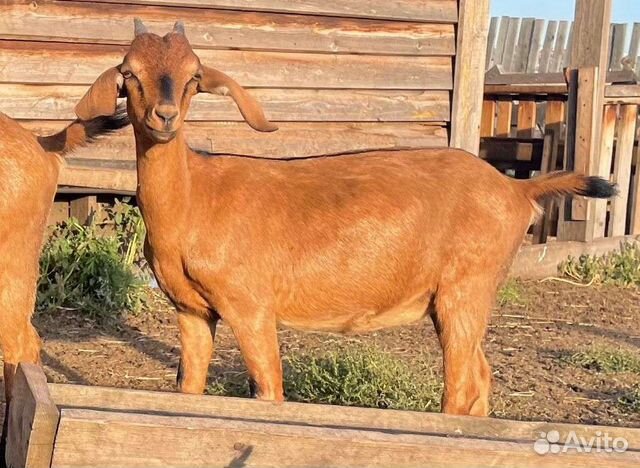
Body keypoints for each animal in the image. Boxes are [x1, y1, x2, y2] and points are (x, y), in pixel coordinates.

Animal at [74, 21, 615, 417]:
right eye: (129, 73)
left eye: (193, 77)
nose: (164, 117)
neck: (193, 199)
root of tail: (517, 188)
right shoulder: (192, 309)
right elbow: (189, 390)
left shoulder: (249, 304)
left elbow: (269, 390)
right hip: (459, 298)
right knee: (481, 377)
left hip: (467, 287)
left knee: (461, 384)